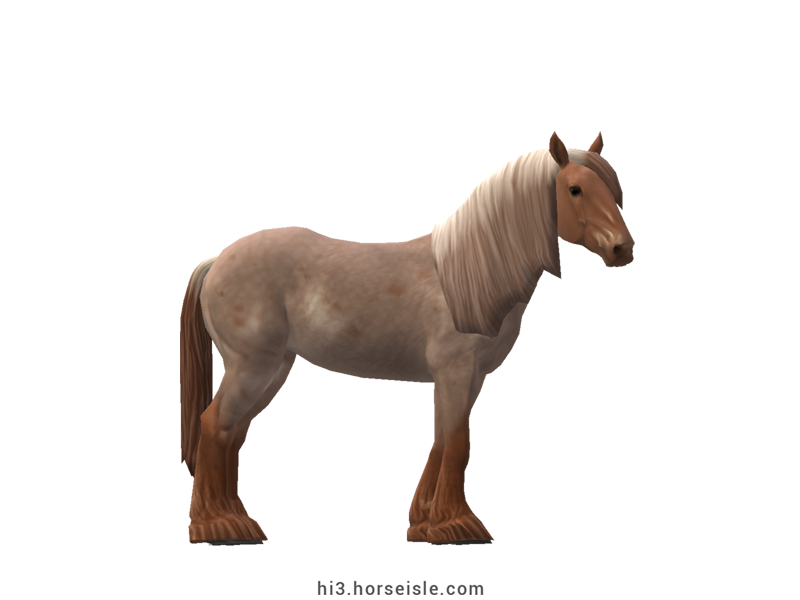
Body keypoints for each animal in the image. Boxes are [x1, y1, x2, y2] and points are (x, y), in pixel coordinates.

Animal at [180, 134, 634, 542]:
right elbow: (458, 443)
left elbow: (442, 440)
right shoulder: (454, 370)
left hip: (263, 371)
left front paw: (426, 518)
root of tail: (217, 261)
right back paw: (218, 522)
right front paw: (456, 522)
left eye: (612, 190)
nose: (621, 247)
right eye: (575, 189)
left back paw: (233, 514)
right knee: (213, 424)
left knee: (229, 432)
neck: (469, 276)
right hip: (249, 366)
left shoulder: (465, 376)